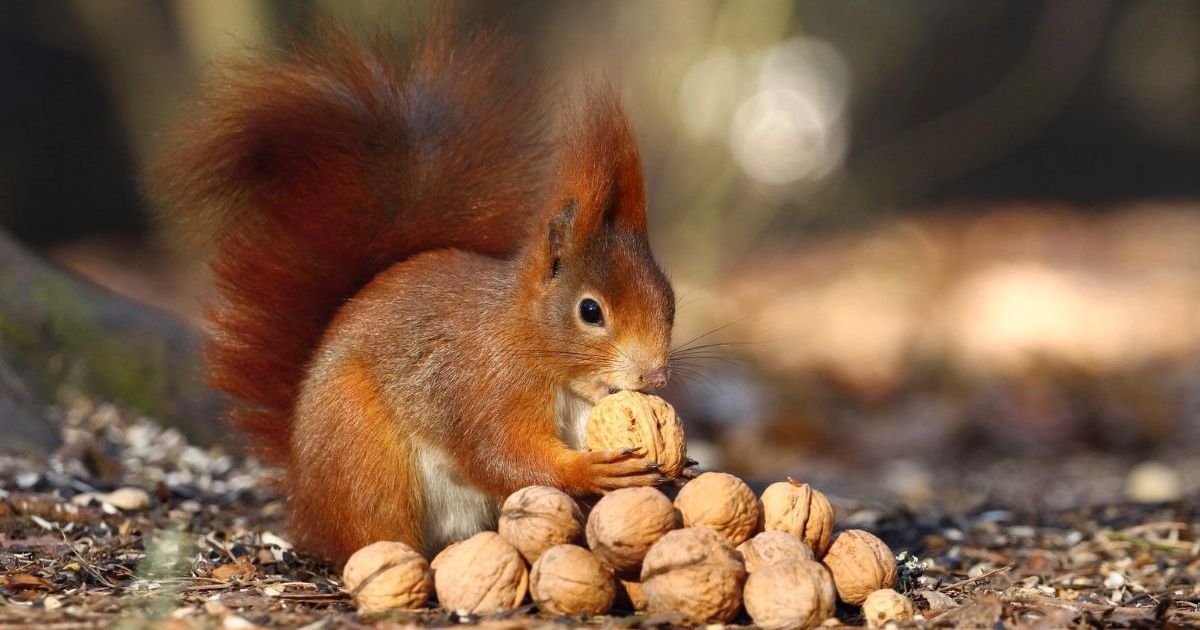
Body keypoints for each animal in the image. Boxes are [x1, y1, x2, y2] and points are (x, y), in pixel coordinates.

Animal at [149, 19, 675, 564]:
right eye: (590, 311)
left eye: (670, 301)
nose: (655, 375)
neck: (530, 343)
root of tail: (304, 497)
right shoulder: (485, 385)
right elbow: (501, 454)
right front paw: (589, 470)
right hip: (362, 454)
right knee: (374, 530)